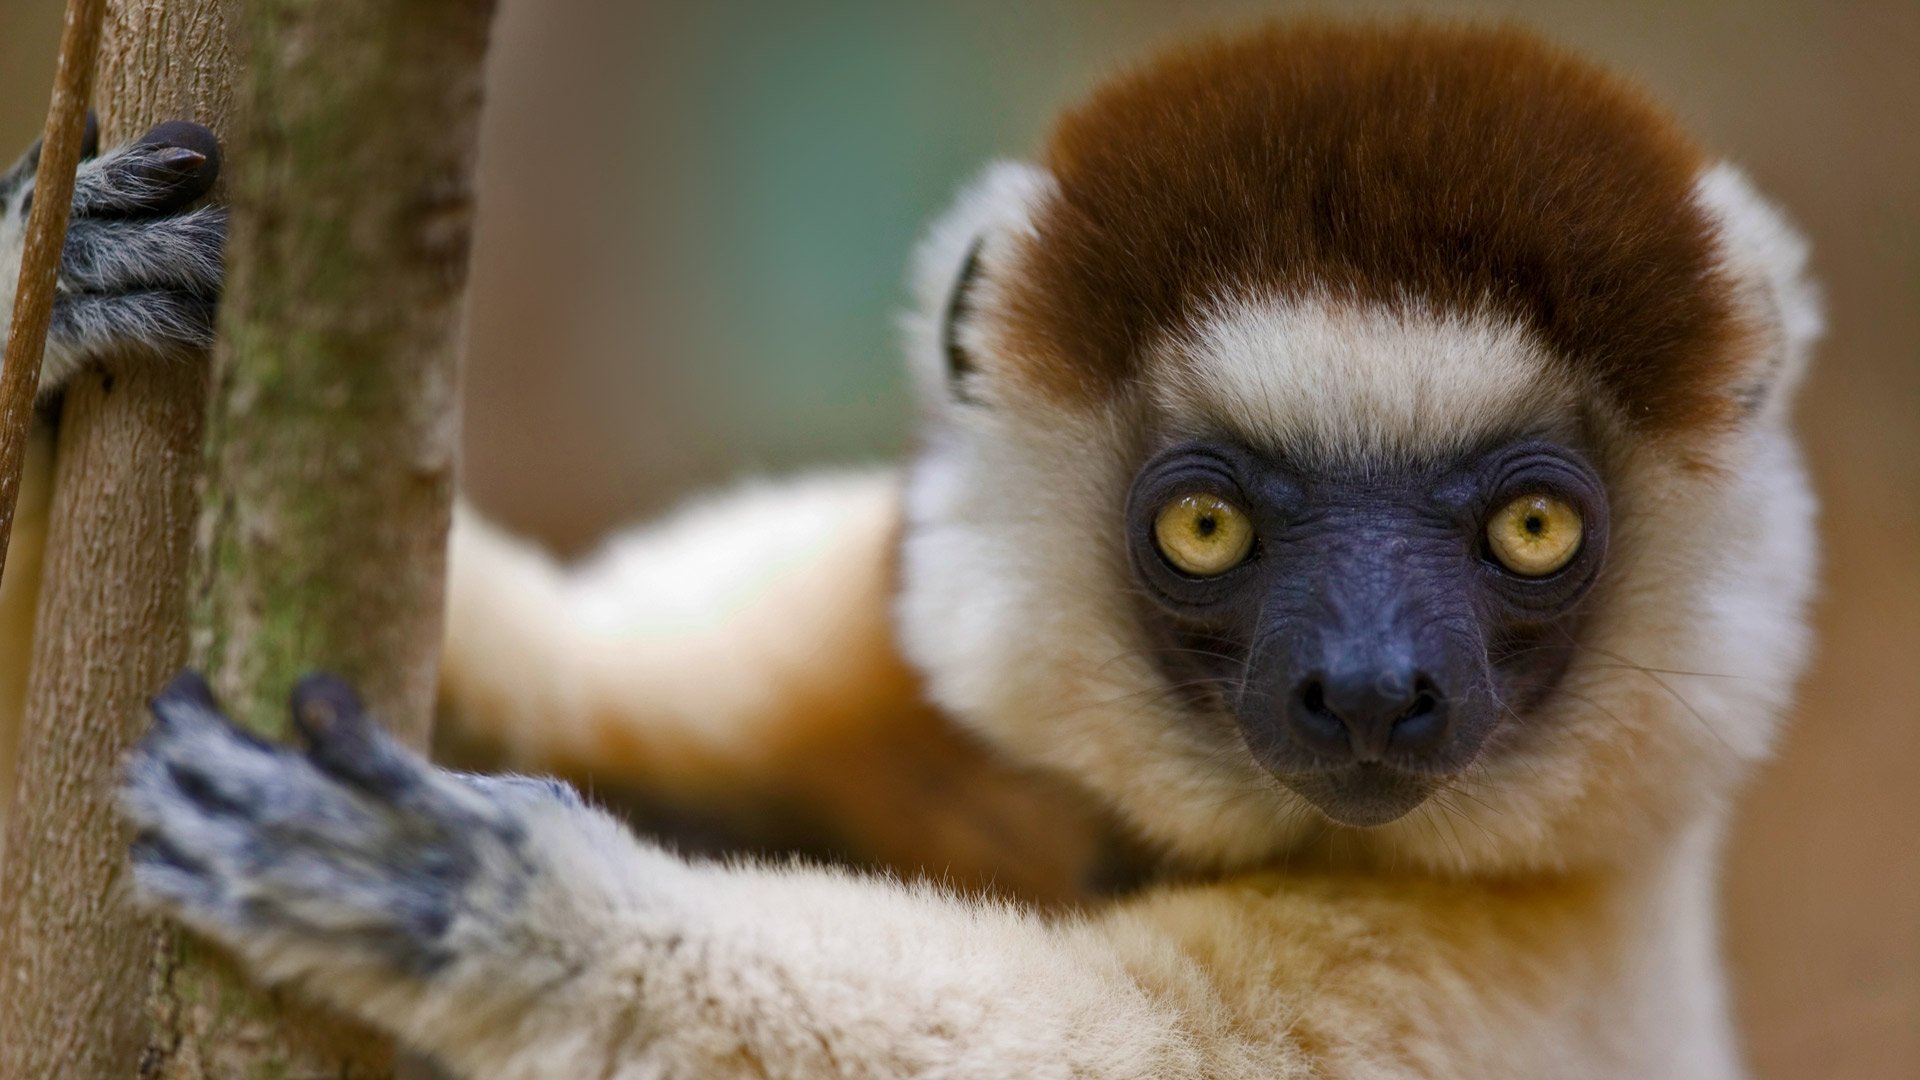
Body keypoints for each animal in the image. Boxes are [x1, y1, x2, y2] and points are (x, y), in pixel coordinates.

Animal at [10, 17, 1824, 1079]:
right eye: (1207, 524)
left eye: (1532, 528)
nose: (1372, 692)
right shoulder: (845, 617)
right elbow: (581, 670)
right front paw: (60, 276)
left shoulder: (1543, 961)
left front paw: (512, 915)